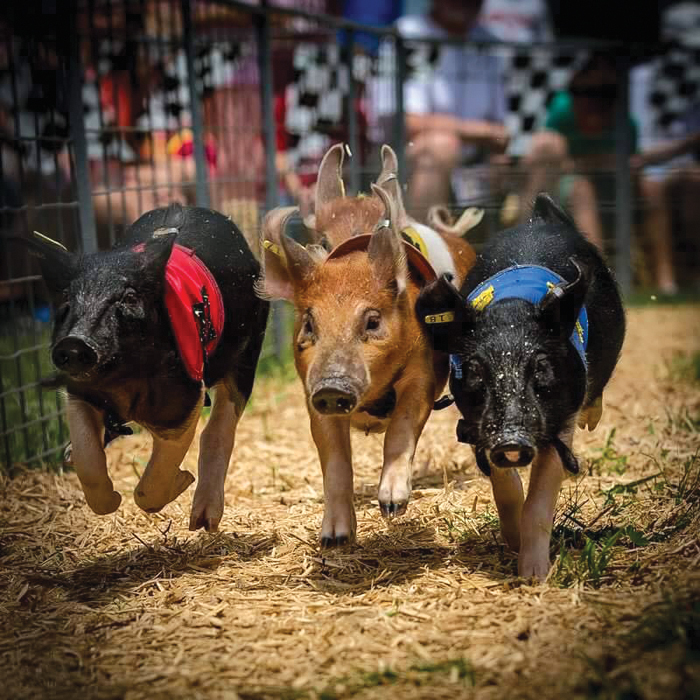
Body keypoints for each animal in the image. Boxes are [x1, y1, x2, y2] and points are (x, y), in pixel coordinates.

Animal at [27, 203, 269, 531]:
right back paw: (68, 454)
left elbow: (153, 481)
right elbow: (87, 456)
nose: (74, 343)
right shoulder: (79, 391)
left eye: (129, 297)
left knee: (219, 427)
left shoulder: (185, 398)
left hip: (248, 349)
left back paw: (203, 522)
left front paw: (182, 481)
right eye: (67, 297)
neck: (122, 383)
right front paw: (108, 498)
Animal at [258, 143, 476, 546]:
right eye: (310, 323)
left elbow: (402, 428)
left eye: (373, 321)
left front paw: (392, 505)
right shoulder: (311, 394)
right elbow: (334, 461)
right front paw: (334, 539)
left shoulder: (424, 373)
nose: (333, 386)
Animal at [415, 193, 626, 580]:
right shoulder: (477, 424)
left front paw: (534, 577)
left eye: (541, 365)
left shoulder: (560, 423)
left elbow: (540, 500)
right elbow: (506, 487)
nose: (511, 437)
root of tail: (539, 219)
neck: (511, 313)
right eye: (475, 369)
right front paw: (512, 544)